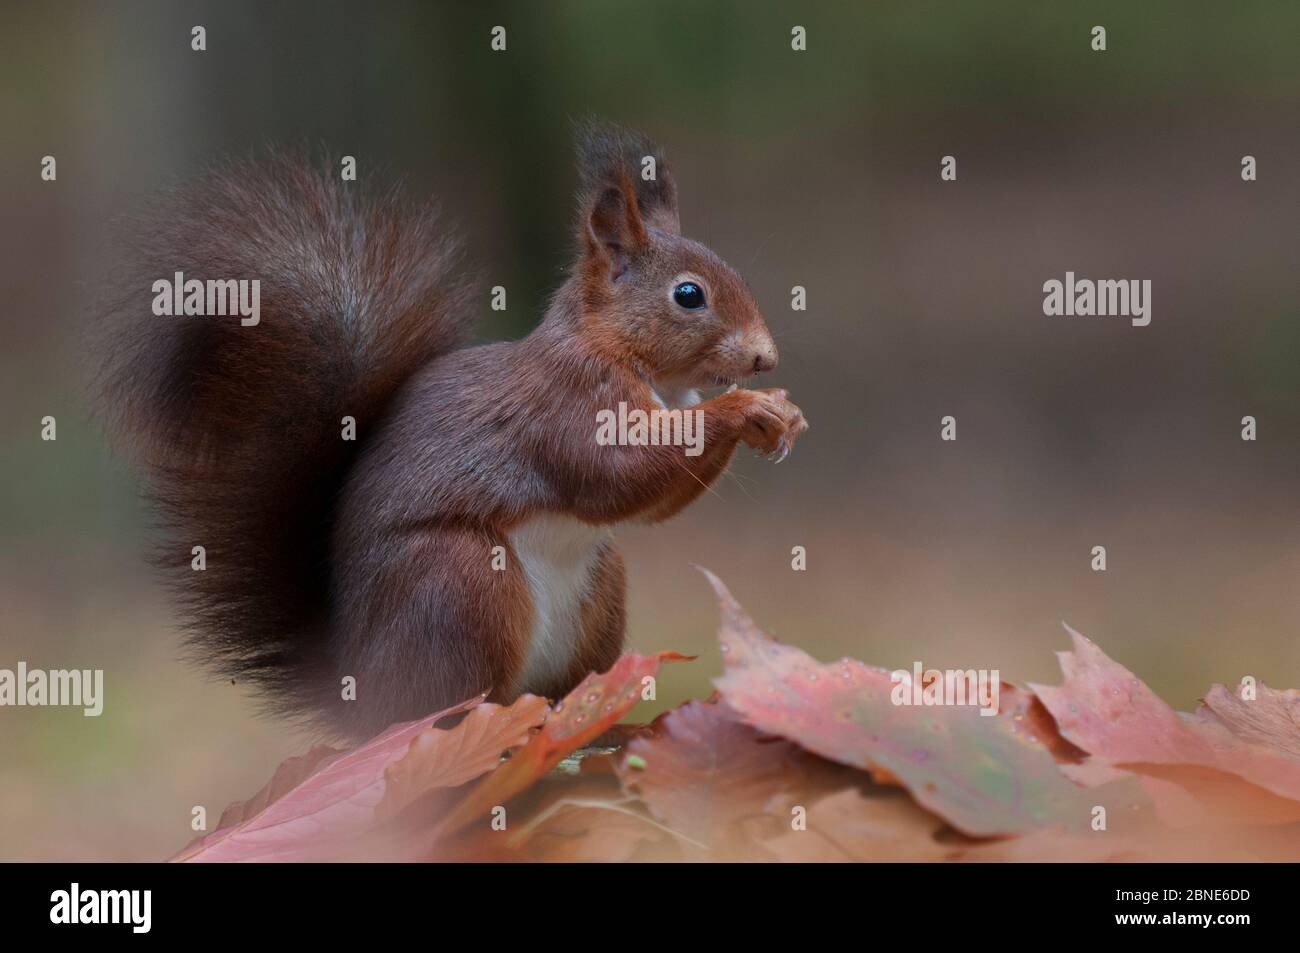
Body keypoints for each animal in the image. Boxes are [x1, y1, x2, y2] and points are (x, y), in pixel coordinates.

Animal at [102, 122, 807, 739]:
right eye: (689, 295)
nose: (766, 358)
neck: (640, 366)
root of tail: (361, 694)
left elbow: (654, 499)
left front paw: (780, 415)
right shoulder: (568, 402)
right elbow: (618, 472)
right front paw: (746, 409)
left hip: (597, 591)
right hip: (461, 584)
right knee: (443, 709)